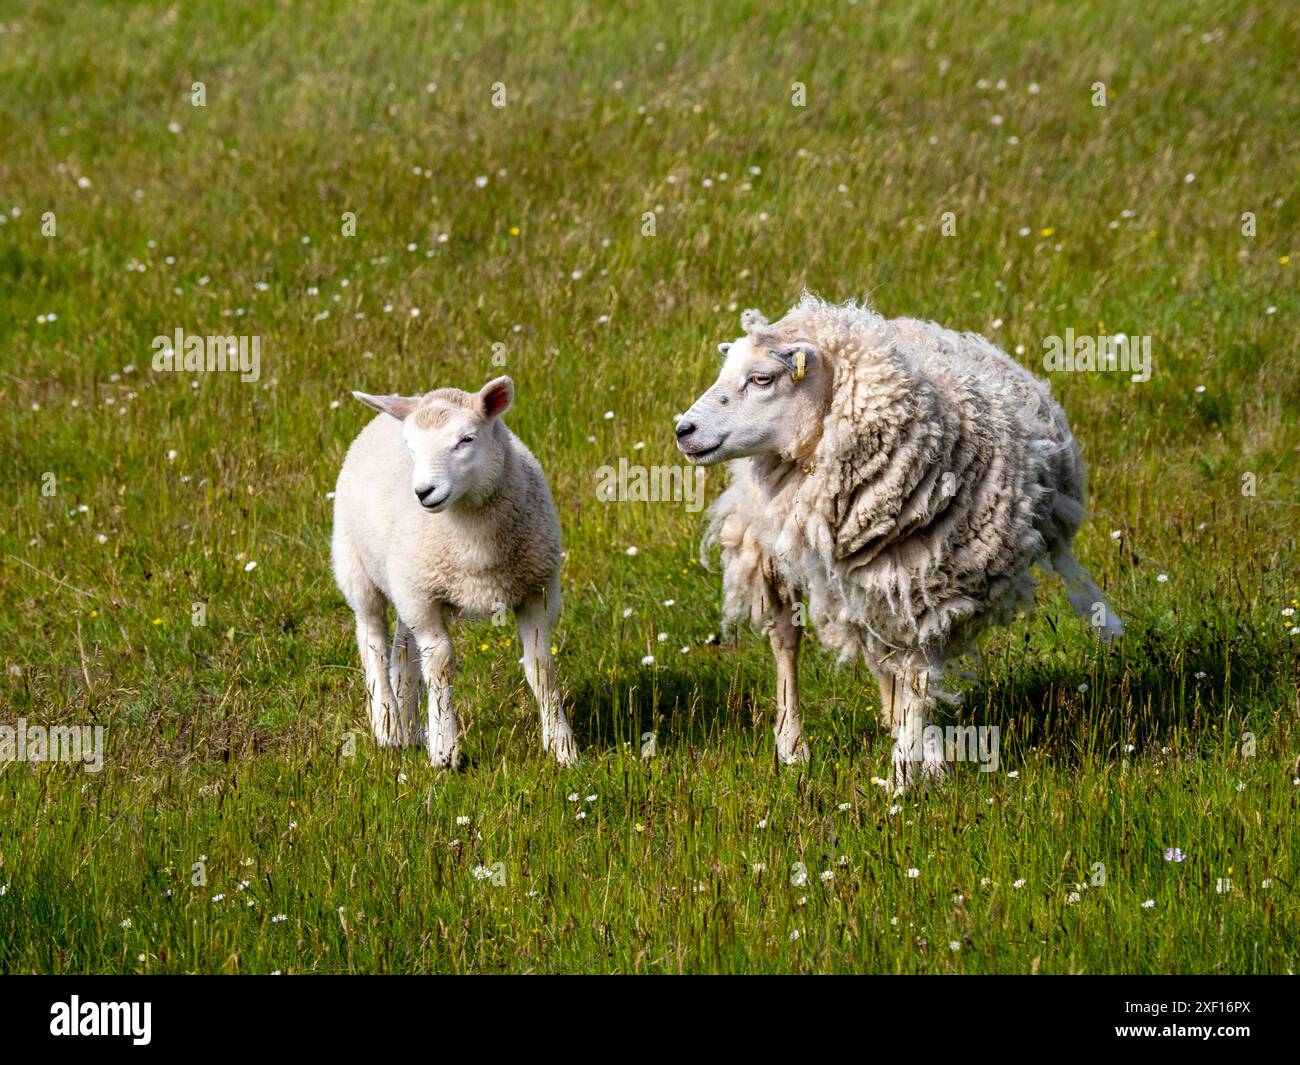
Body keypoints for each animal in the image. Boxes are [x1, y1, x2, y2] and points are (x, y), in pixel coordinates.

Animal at [331, 375, 577, 767]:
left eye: (466, 439)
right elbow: (440, 665)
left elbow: (540, 666)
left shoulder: (537, 590)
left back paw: (411, 729)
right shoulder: (424, 599)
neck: (475, 545)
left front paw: (562, 747)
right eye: (410, 447)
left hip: (406, 583)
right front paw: (444, 749)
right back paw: (389, 727)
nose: (424, 492)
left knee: (403, 649)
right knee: (373, 641)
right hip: (357, 567)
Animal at [675, 294, 1121, 788]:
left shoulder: (932, 590)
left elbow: (917, 678)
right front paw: (908, 770)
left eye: (761, 378)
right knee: (787, 641)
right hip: (774, 556)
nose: (683, 431)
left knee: (889, 663)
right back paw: (793, 748)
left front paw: (912, 768)